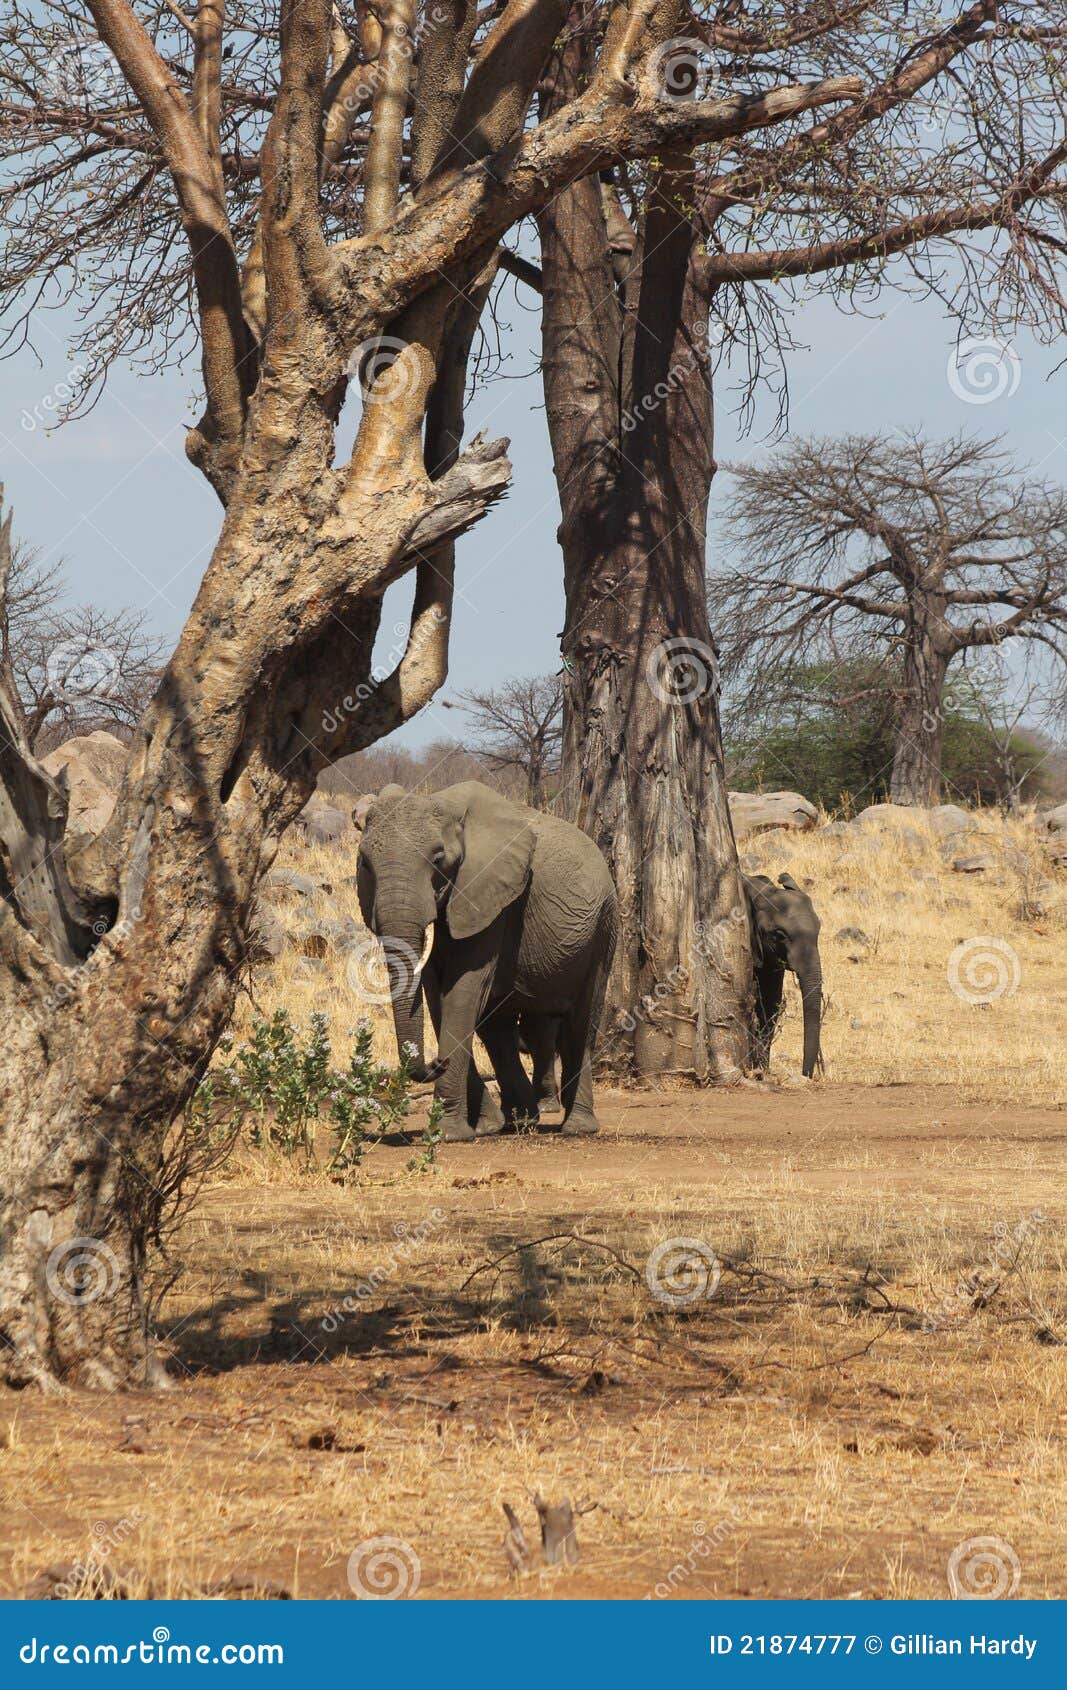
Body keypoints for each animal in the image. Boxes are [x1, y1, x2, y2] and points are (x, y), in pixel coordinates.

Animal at [356, 781, 618, 1141]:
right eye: (365, 864)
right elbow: (438, 995)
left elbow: (462, 991)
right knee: (497, 1025)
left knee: (581, 1019)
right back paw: (518, 1122)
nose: (436, 1064)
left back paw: (576, 1128)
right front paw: (481, 1127)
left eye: (438, 860)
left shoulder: (491, 895)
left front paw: (448, 1134)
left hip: (603, 925)